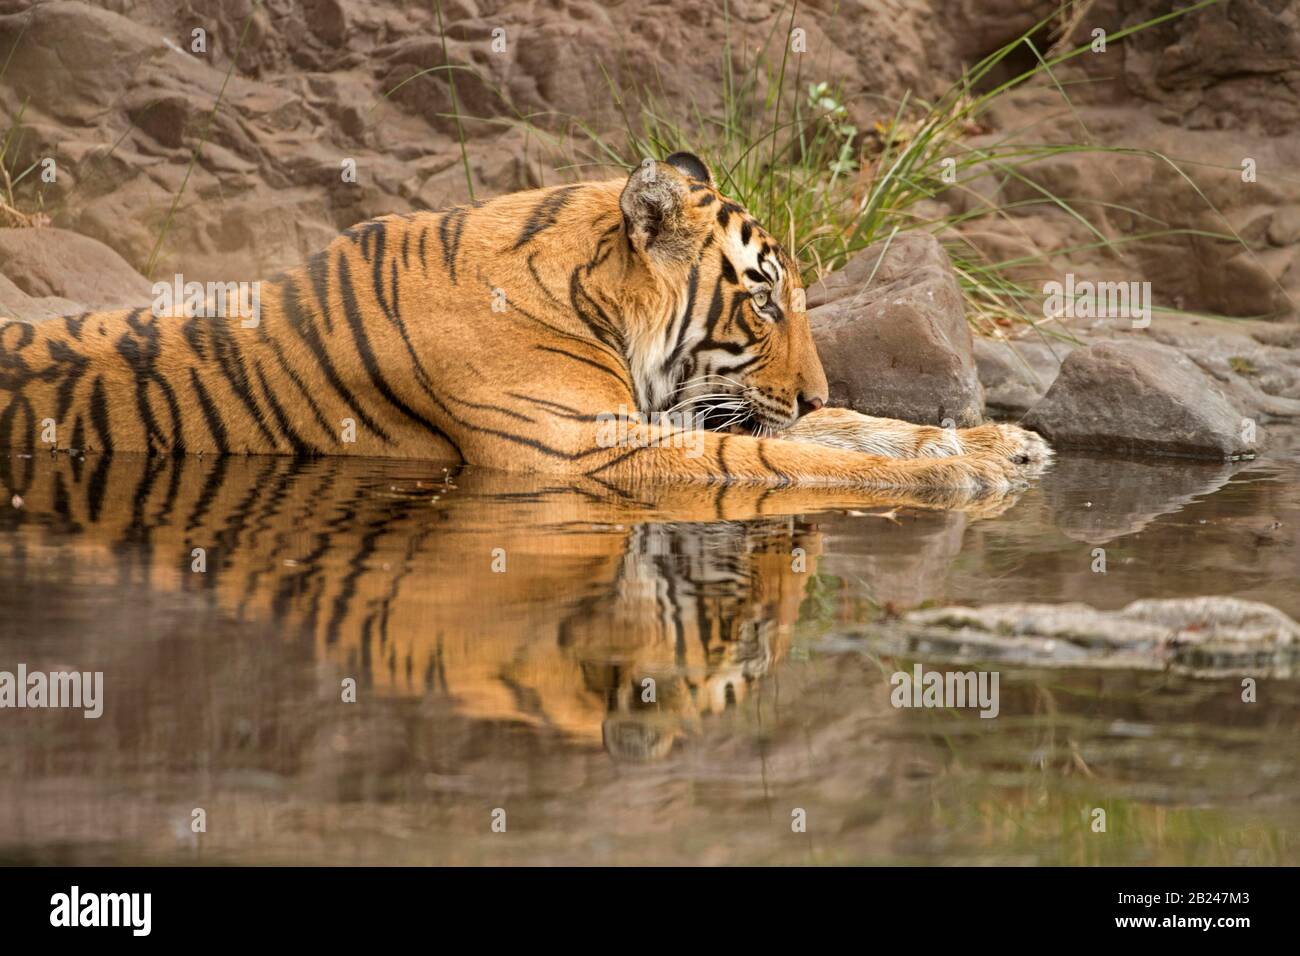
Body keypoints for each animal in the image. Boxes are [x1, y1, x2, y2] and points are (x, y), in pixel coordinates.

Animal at [0, 152, 1050, 495]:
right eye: (761, 301)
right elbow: (782, 457)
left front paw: (999, 442)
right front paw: (964, 475)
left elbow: (851, 431)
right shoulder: (582, 444)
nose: (811, 391)